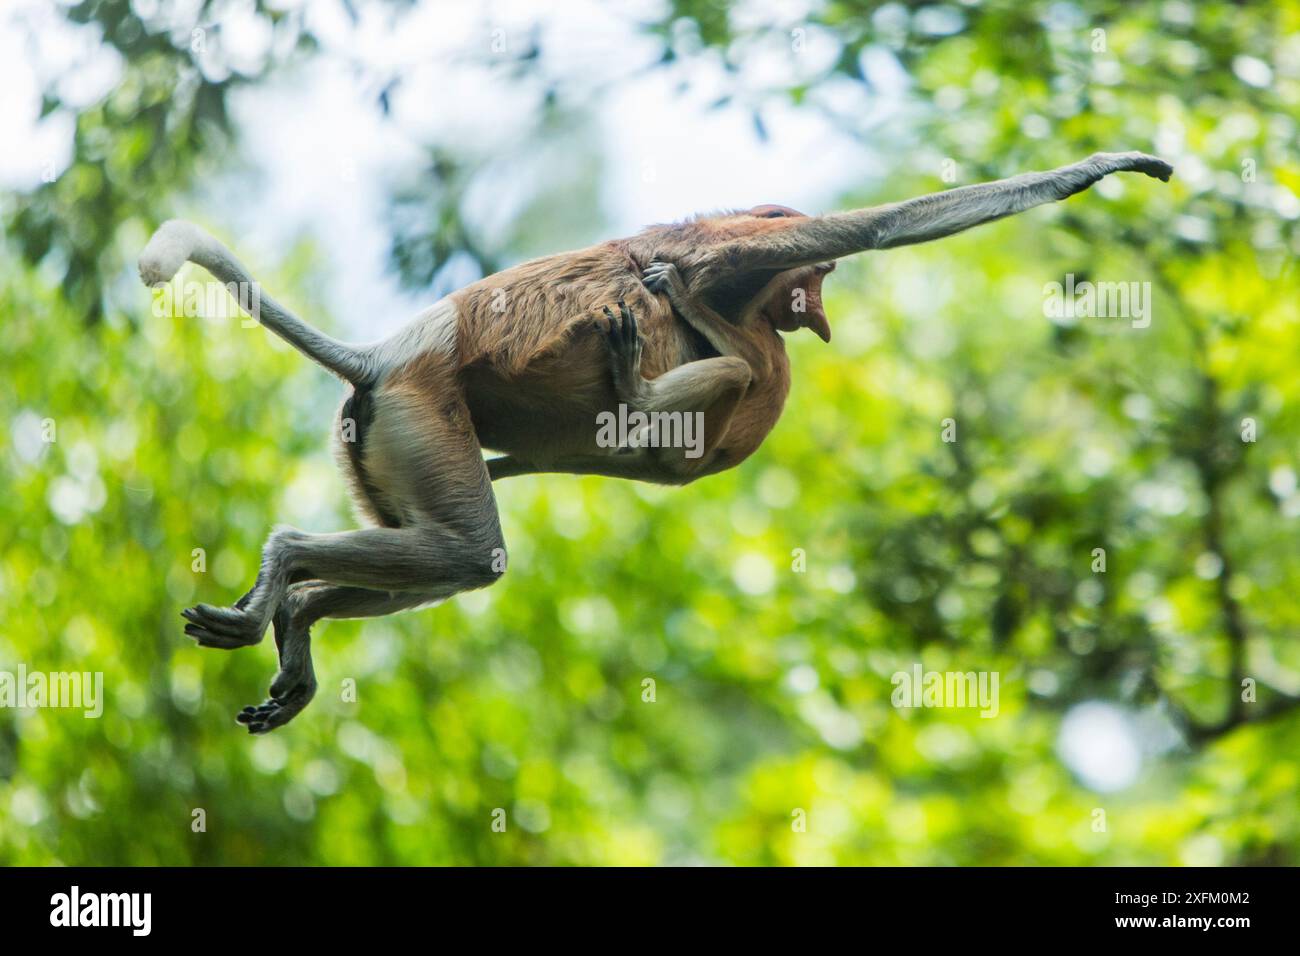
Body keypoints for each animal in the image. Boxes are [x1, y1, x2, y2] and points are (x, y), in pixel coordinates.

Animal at [137, 150, 1172, 732]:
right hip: (420, 405)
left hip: (381, 436)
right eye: (815, 277)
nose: (817, 312)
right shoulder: (735, 255)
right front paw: (1099, 167)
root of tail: (385, 354)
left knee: (450, 552)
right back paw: (285, 573)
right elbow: (881, 228)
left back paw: (299, 617)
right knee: (472, 550)